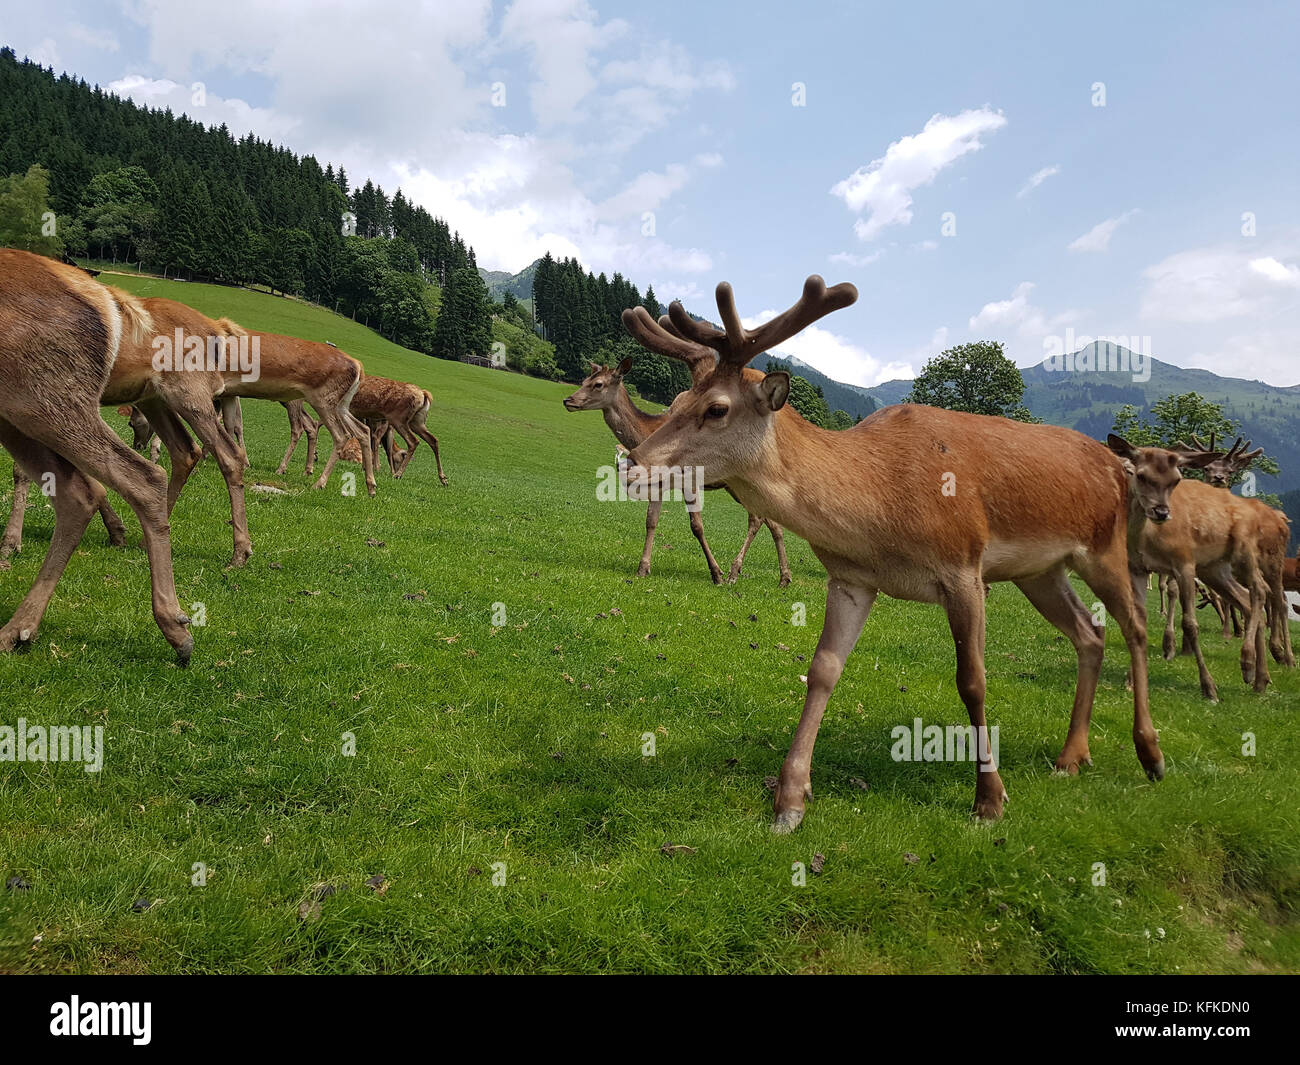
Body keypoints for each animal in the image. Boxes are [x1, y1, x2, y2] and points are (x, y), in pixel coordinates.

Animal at [0, 247, 192, 663]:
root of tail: (107, 298)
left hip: (44, 399)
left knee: (144, 475)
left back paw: (176, 629)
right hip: (18, 413)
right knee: (78, 494)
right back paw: (19, 630)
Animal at [564, 358, 792, 586]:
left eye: (598, 384)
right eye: (584, 380)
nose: (568, 400)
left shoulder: (689, 479)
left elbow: (696, 526)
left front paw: (716, 573)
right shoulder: (657, 484)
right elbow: (651, 520)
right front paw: (643, 568)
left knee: (758, 519)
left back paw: (735, 572)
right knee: (772, 523)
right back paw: (783, 578)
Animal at [621, 275, 1197, 831]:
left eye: (716, 408)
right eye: (675, 401)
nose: (631, 464)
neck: (880, 510)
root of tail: (1118, 467)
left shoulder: (964, 567)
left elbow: (973, 680)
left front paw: (989, 799)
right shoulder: (852, 578)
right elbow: (823, 669)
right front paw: (790, 800)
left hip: (1105, 547)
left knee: (1134, 625)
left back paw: (1150, 755)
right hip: (1040, 570)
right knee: (1089, 632)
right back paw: (1071, 756)